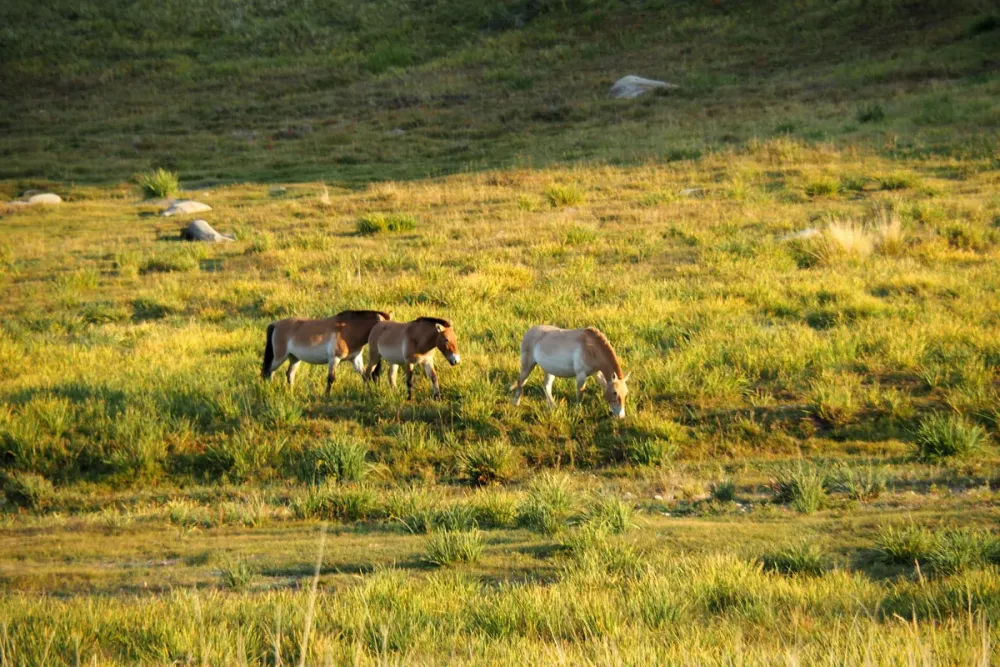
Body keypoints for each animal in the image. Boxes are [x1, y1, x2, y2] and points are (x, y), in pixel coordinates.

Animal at [261, 310, 390, 394]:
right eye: (384, 328)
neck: (348, 330)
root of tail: (275, 324)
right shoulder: (334, 359)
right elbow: (331, 379)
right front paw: (326, 395)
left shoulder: (355, 359)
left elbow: (364, 375)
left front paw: (369, 391)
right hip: (280, 357)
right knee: (269, 371)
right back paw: (269, 389)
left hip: (294, 358)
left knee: (289, 374)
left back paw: (291, 391)